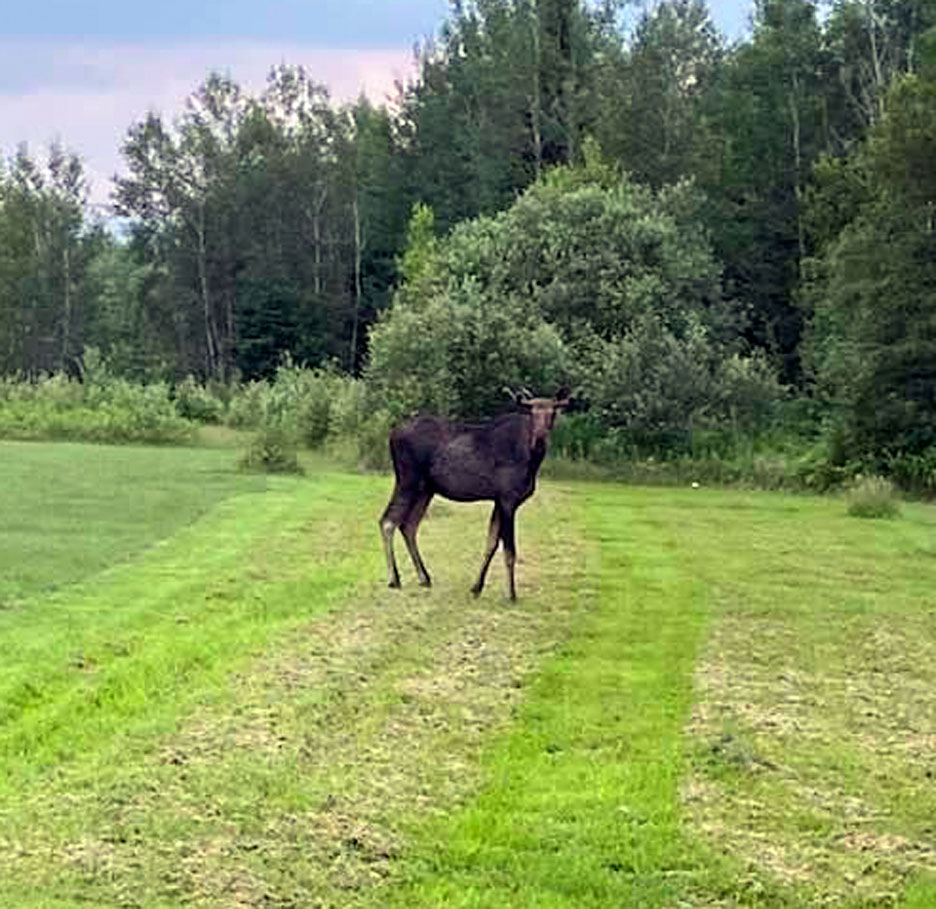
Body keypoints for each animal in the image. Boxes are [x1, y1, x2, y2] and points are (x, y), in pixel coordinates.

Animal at [379, 389, 570, 601]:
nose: (540, 440)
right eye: (533, 414)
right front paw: (511, 594)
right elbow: (509, 551)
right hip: (407, 480)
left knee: (408, 525)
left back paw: (424, 577)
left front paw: (476, 587)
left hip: (425, 489)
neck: (532, 461)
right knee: (388, 521)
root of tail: (392, 435)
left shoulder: (499, 501)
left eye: (553, 413)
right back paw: (394, 579)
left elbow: (491, 544)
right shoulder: (508, 499)